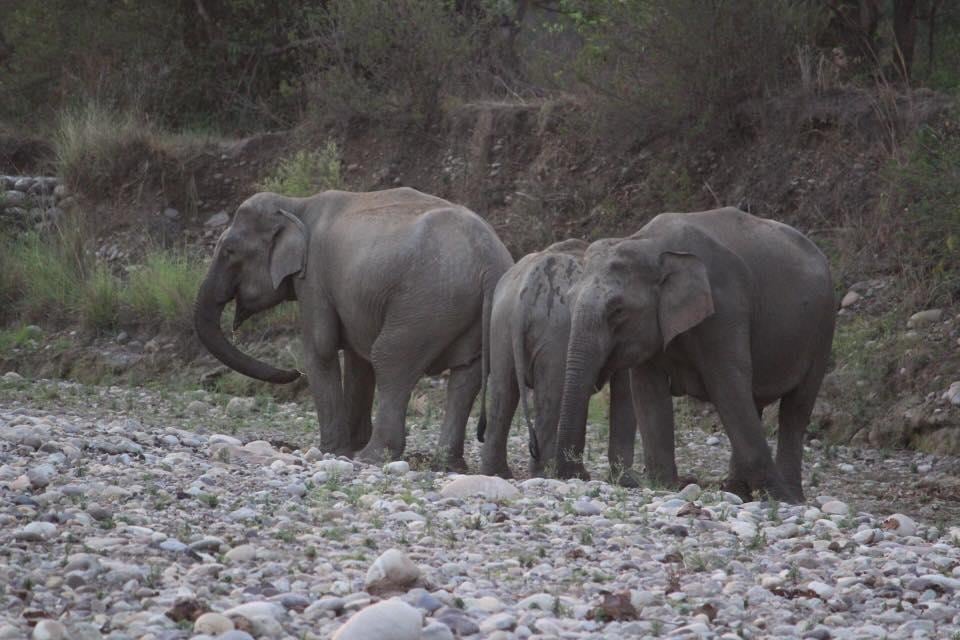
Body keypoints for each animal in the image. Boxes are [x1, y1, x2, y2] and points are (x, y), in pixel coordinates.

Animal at [194, 187, 513, 468]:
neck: (296, 204)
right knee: (466, 375)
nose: (291, 372)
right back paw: (447, 465)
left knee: (390, 359)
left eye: (229, 251)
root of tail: (489, 261)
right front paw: (349, 445)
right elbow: (357, 359)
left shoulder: (314, 278)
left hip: (426, 305)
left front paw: (333, 451)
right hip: (468, 313)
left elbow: (321, 348)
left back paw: (372, 457)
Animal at [477, 239, 642, 485]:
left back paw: (498, 474)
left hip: (501, 327)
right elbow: (624, 389)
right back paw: (552, 474)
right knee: (552, 395)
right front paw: (627, 481)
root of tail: (525, 291)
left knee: (504, 392)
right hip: (556, 330)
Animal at [555, 207, 835, 503]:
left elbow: (727, 384)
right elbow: (648, 392)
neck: (650, 244)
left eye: (617, 310)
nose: (580, 474)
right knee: (756, 402)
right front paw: (663, 485)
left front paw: (778, 496)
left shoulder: (725, 307)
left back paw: (789, 497)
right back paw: (738, 492)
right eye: (568, 299)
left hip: (823, 328)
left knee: (795, 408)